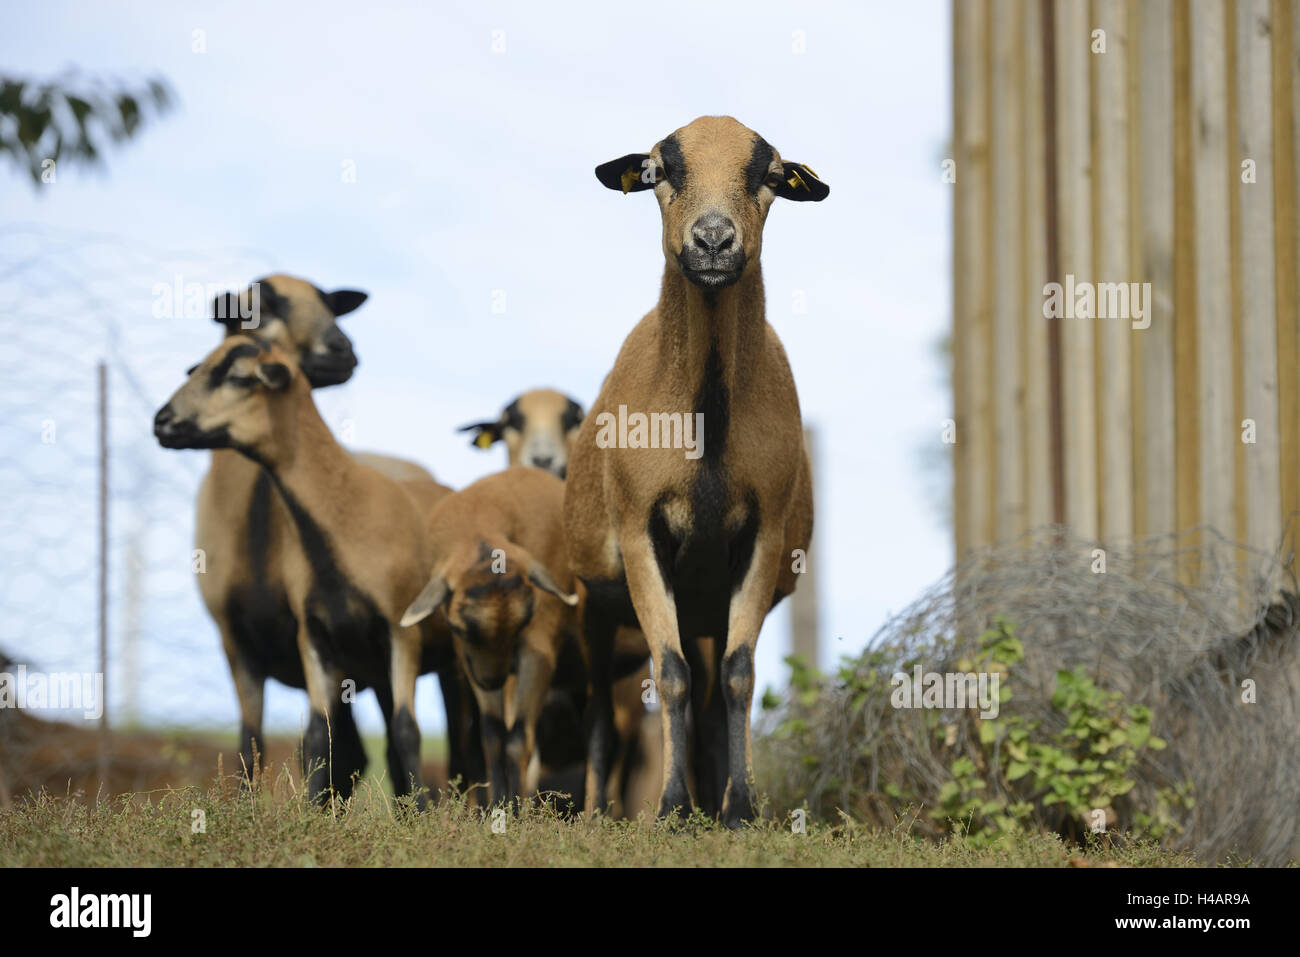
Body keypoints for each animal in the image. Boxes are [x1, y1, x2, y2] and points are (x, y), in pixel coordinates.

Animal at [157, 334, 448, 806]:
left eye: (239, 377)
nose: (162, 422)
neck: (347, 511)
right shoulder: (313, 636)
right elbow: (315, 736)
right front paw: (310, 810)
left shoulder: (403, 631)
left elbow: (409, 731)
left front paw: (423, 813)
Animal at [400, 466, 580, 806]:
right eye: (458, 629)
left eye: (524, 622)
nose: (493, 680)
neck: (480, 523)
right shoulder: (470, 661)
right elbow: (493, 735)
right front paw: (498, 807)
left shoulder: (538, 648)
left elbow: (519, 737)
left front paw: (519, 811)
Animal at [565, 116, 825, 826]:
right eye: (658, 171)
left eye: (771, 176)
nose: (712, 240)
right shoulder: (638, 532)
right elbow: (670, 674)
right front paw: (671, 808)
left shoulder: (761, 534)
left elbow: (738, 675)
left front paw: (739, 810)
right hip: (592, 601)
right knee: (600, 712)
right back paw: (599, 812)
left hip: (703, 601)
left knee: (710, 692)